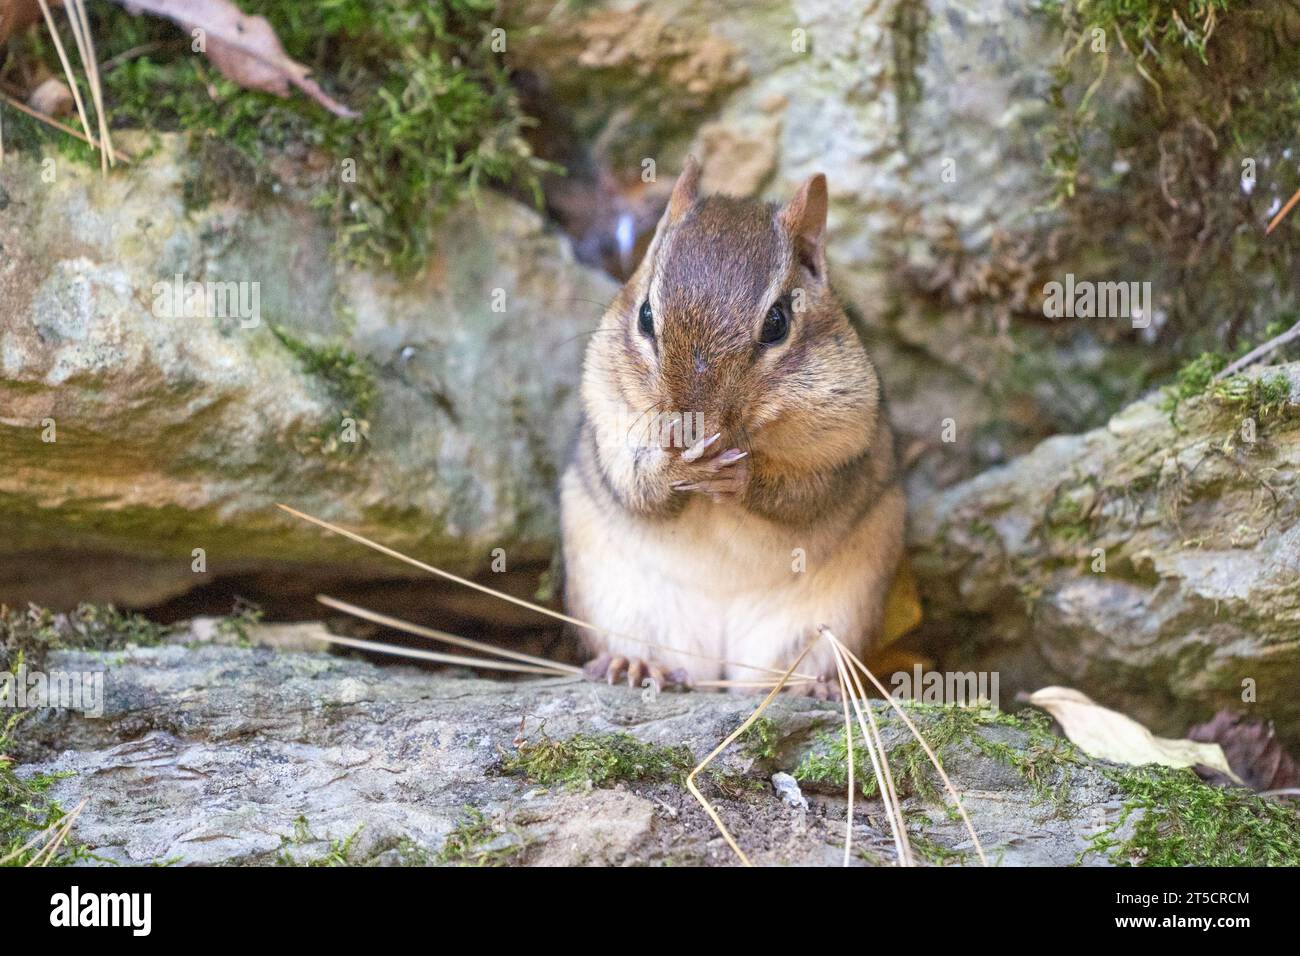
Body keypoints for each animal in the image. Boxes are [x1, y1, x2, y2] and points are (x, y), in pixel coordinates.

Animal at [560, 157, 905, 697]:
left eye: (778, 322)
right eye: (645, 316)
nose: (694, 425)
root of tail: (716, 668)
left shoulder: (849, 437)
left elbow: (809, 494)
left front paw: (743, 476)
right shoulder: (607, 421)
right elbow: (633, 485)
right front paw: (674, 468)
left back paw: (809, 686)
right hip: (618, 600)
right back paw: (635, 665)